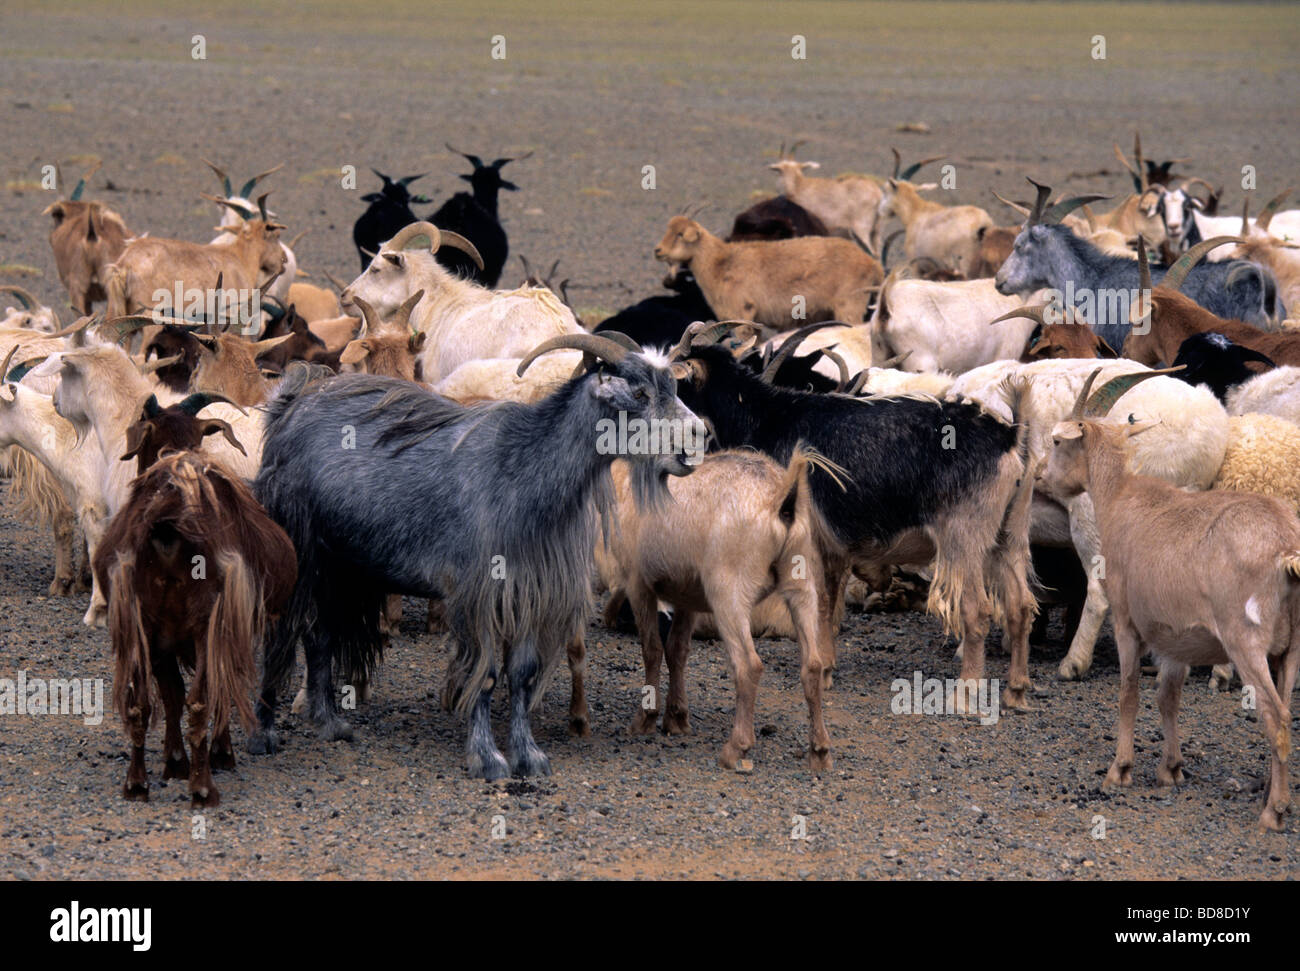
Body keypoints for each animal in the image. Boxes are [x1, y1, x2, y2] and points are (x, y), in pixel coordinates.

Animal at [95, 450, 296, 806]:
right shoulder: (222, 631)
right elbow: (215, 692)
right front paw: (218, 755)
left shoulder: (159, 641)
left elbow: (171, 696)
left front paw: (175, 763)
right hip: (206, 626)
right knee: (203, 700)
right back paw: (203, 789)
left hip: (142, 627)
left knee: (140, 704)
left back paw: (137, 784)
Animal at [247, 335, 706, 781]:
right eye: (640, 393)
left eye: (674, 387)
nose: (697, 437)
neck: (523, 470)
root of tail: (288, 406)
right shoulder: (478, 595)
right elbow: (484, 676)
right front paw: (488, 759)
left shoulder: (530, 595)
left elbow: (521, 675)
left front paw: (528, 756)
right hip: (300, 548)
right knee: (279, 634)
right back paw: (263, 735)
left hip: (339, 567)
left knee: (319, 635)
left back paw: (329, 723)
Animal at [1038, 367, 1300, 830]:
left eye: (1056, 440)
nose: (1037, 475)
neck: (1123, 497)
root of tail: (1285, 548)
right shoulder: (1174, 636)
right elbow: (1168, 698)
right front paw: (1171, 770)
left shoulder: (1128, 621)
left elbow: (1128, 692)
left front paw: (1119, 770)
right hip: (1292, 646)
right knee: (1285, 706)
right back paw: (1270, 789)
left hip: (1246, 640)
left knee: (1277, 715)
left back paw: (1274, 811)